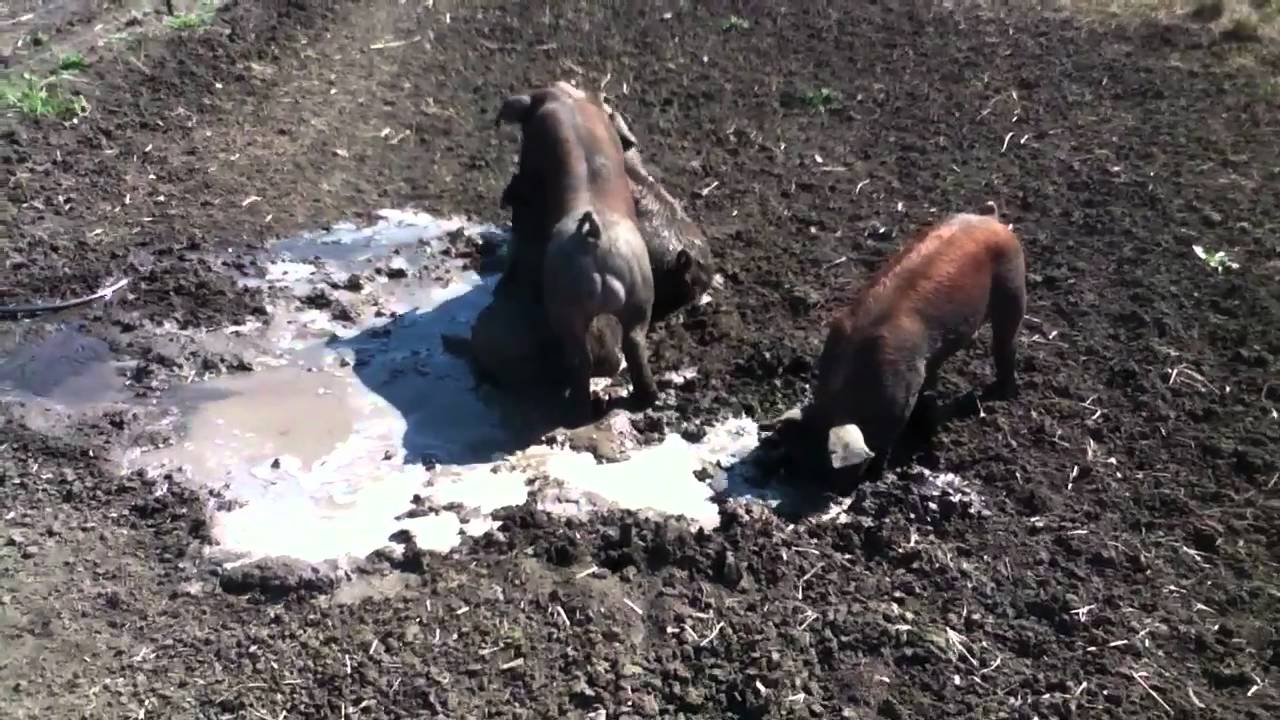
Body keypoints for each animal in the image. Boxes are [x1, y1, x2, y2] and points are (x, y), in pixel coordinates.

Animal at [495, 83, 659, 422]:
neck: (566, 100)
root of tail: (594, 236)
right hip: (640, 293)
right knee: (635, 342)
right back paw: (647, 398)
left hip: (565, 307)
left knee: (579, 356)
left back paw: (577, 409)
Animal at [803, 211, 1026, 484]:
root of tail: (990, 218)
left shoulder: (901, 394)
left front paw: (877, 474)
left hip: (1014, 288)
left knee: (1006, 343)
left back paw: (1006, 393)